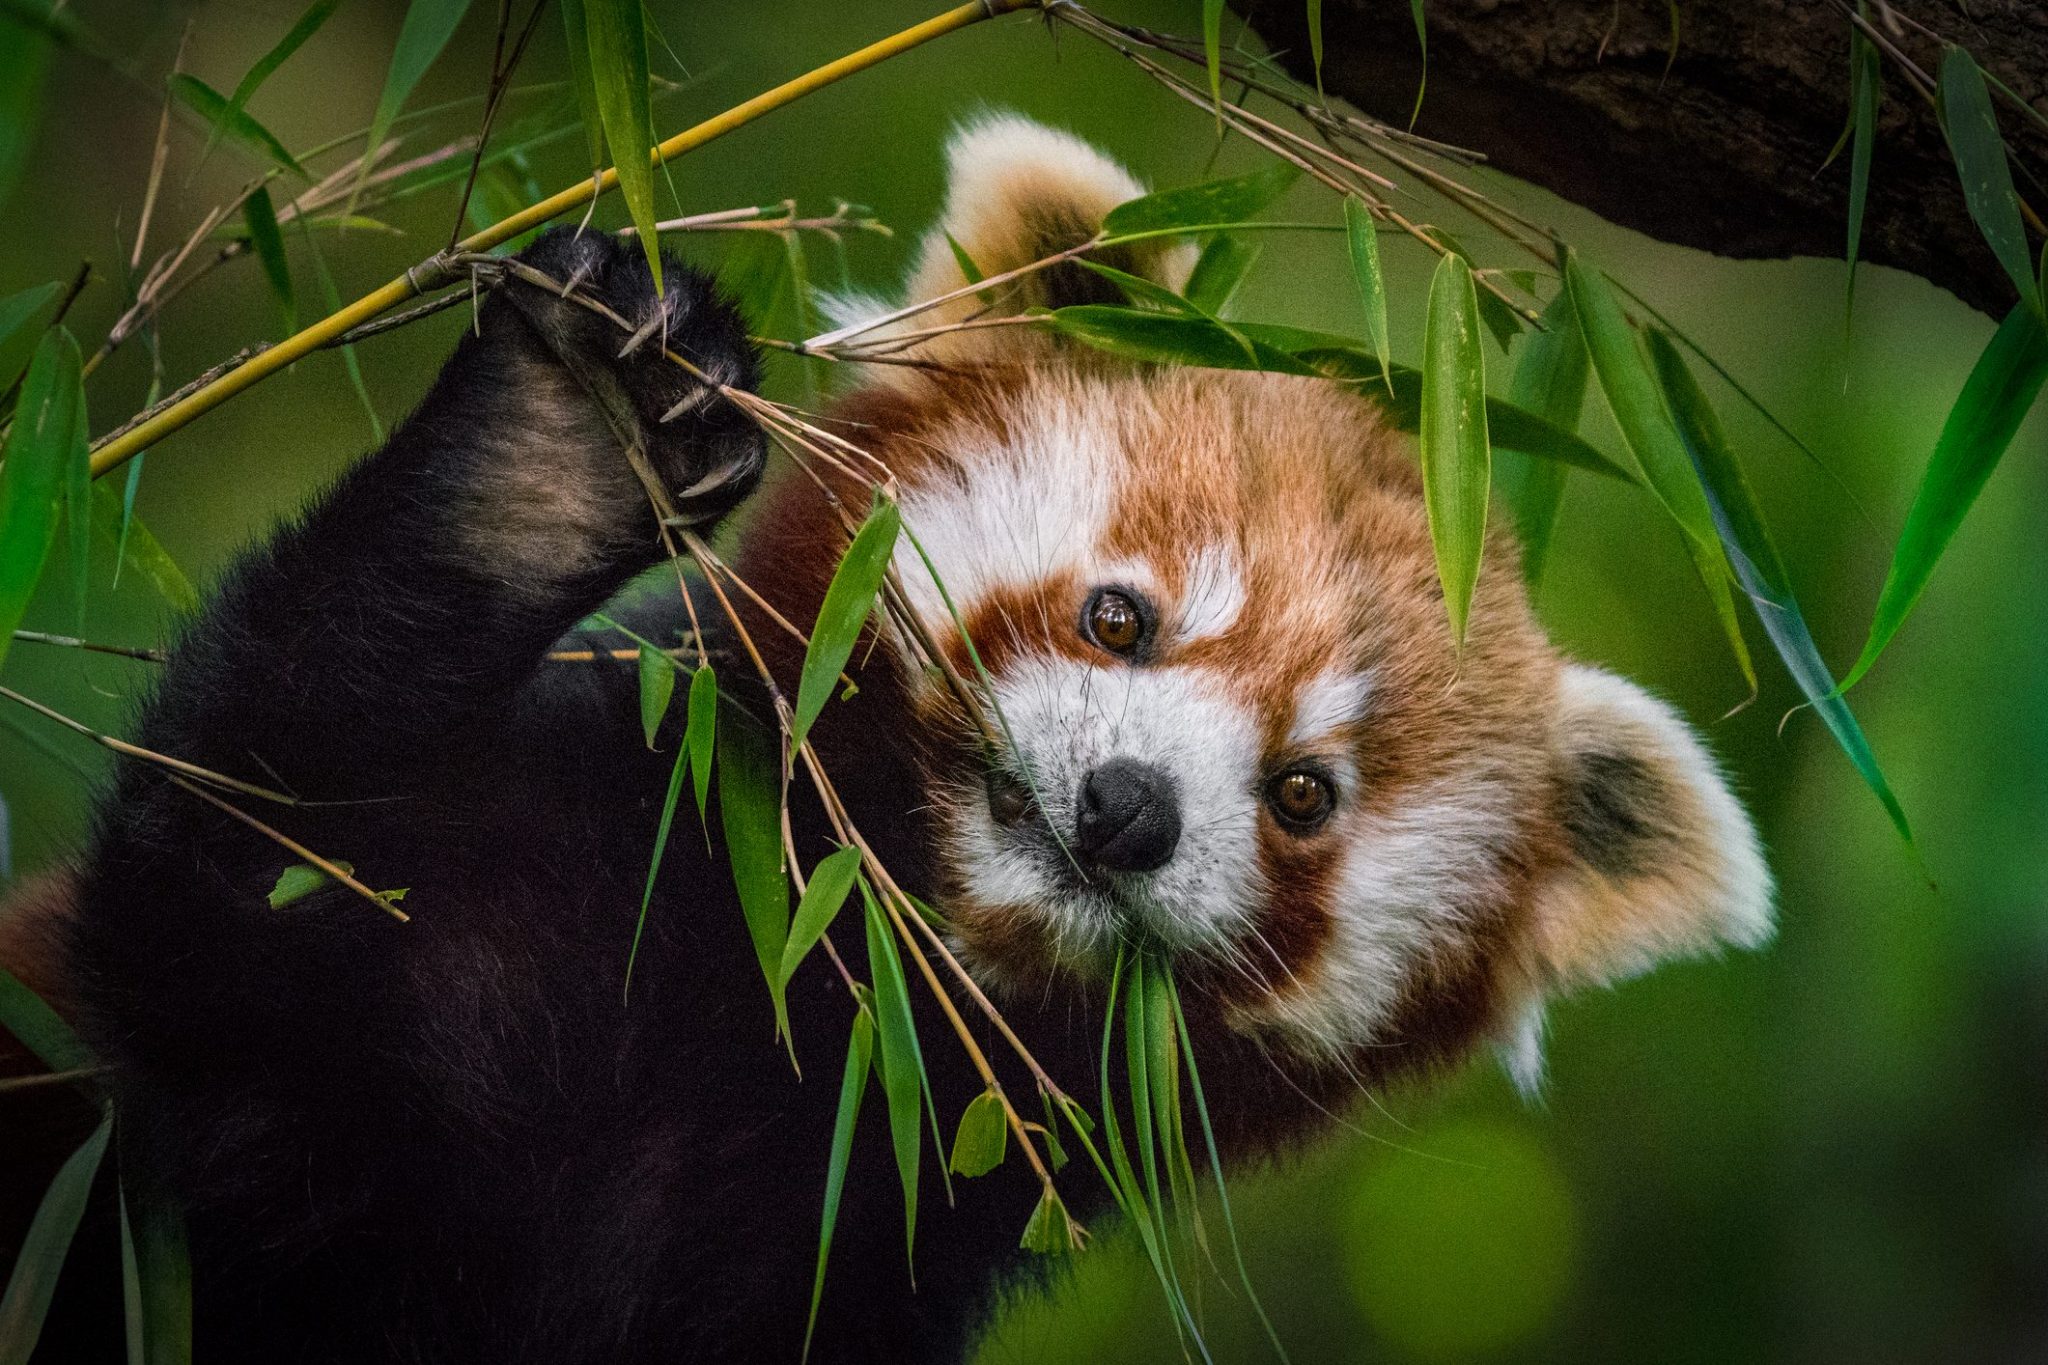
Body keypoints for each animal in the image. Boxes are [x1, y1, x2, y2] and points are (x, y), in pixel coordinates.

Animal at [2, 117, 1770, 1363]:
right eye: (1119, 617)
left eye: (1303, 794)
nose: (1128, 809)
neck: (814, 988)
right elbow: (231, 878)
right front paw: (557, 453)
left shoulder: (863, 1238)